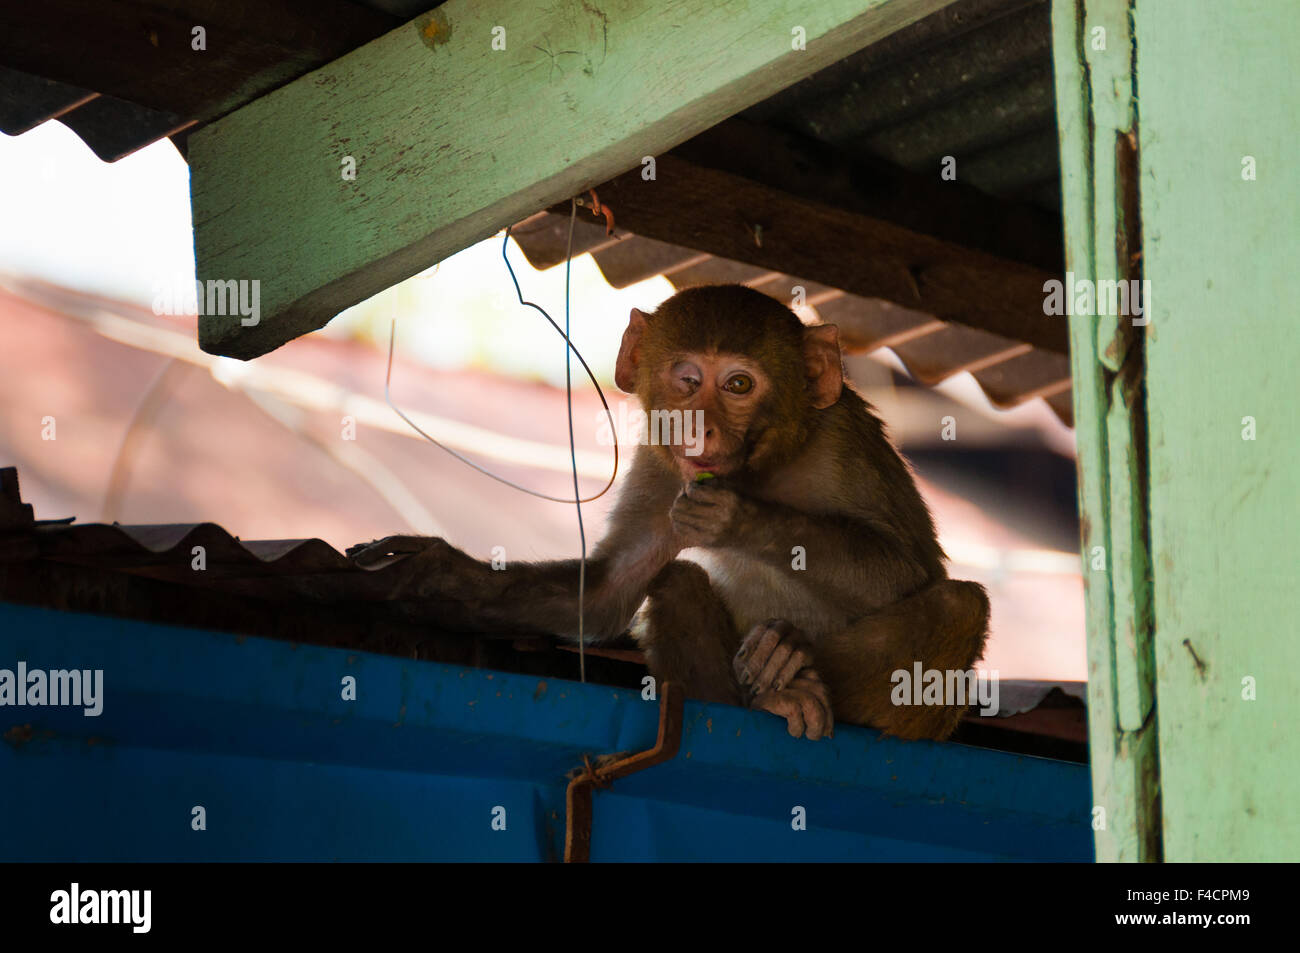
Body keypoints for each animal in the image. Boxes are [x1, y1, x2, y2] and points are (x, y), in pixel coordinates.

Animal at [356, 285, 989, 741]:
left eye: (738, 385)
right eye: (687, 381)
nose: (698, 427)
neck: (762, 463)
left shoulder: (842, 443)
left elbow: (906, 574)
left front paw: (739, 520)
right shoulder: (661, 466)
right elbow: (604, 593)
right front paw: (433, 573)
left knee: (959, 604)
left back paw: (792, 672)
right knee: (677, 581)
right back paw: (771, 695)